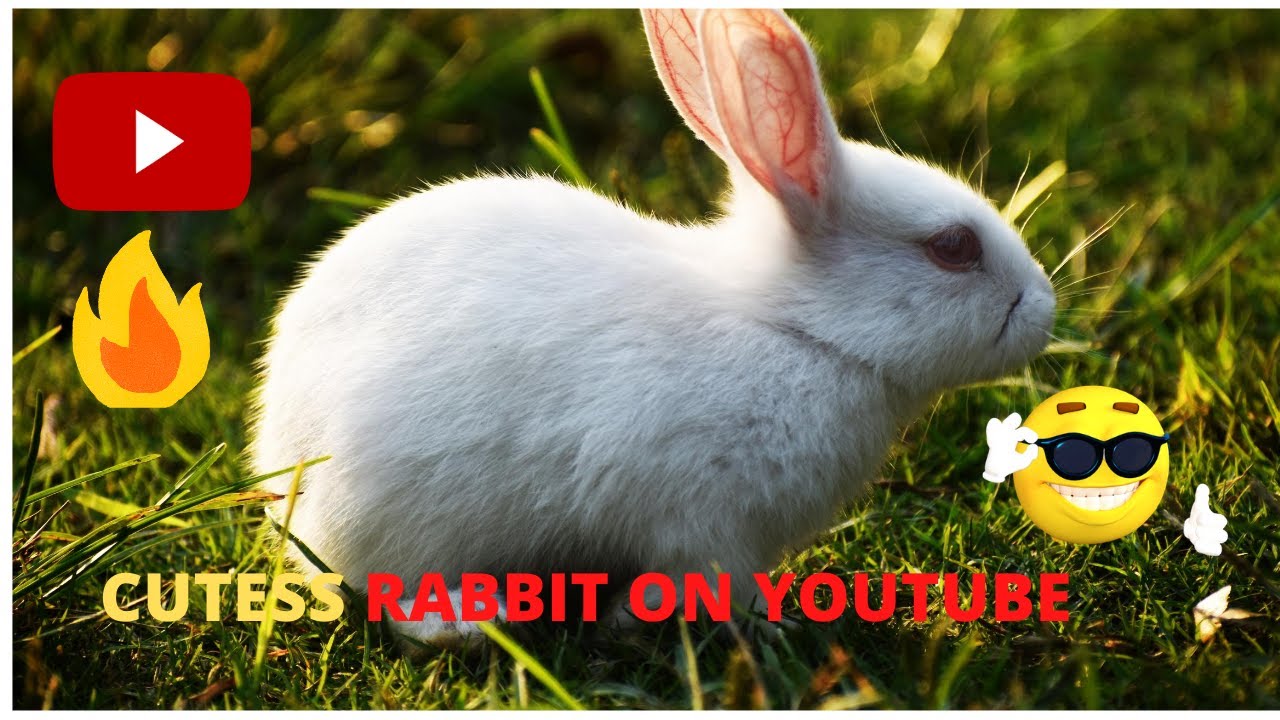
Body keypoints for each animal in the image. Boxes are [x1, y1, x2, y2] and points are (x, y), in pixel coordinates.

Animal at [250, 8, 1056, 647]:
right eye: (953, 247)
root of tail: (279, 457)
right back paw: (470, 625)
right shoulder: (705, 524)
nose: (1045, 307)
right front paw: (768, 627)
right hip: (404, 520)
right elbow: (713, 582)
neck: (795, 329)